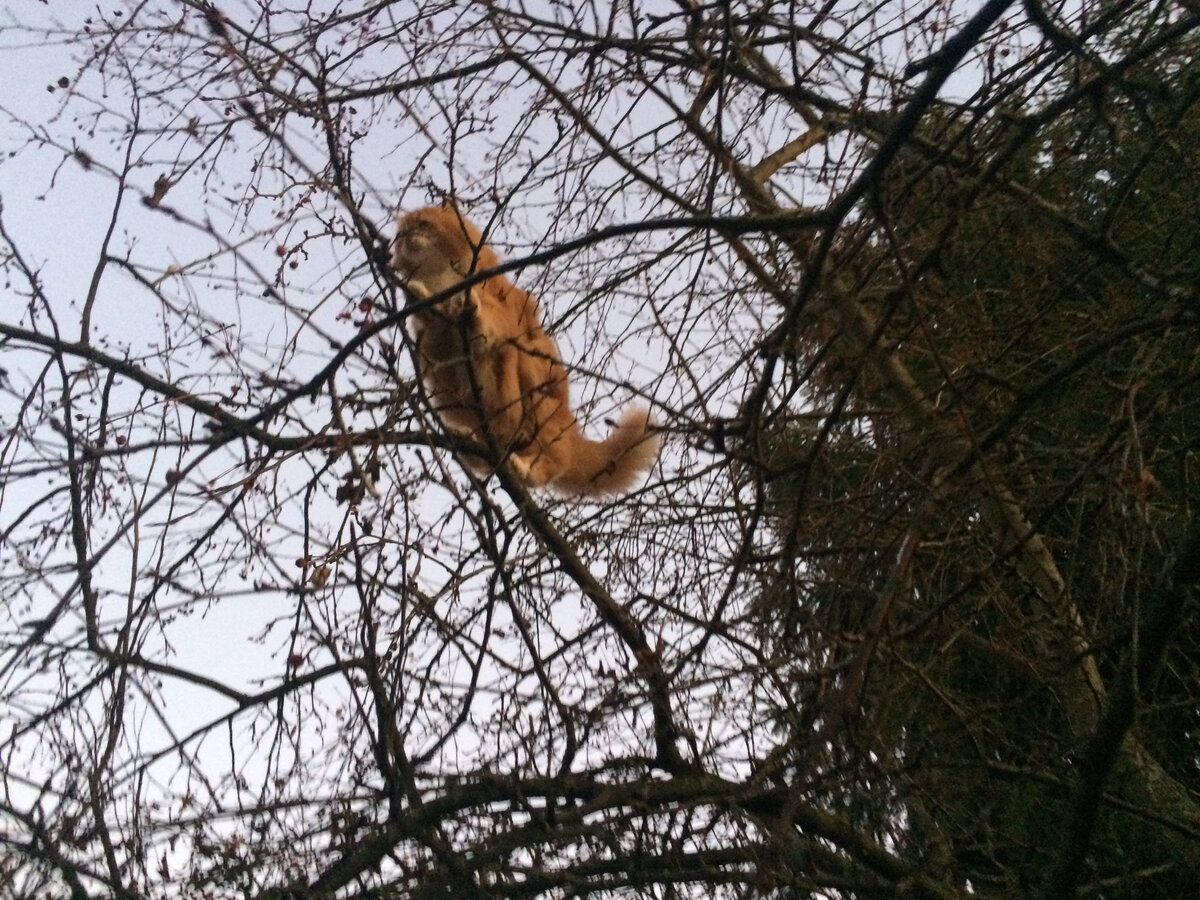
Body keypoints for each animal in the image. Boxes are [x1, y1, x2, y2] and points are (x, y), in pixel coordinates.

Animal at [391, 204, 657, 496]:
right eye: (402, 232)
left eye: (423, 224)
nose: (408, 235)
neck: (441, 277)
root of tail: (570, 425)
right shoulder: (434, 343)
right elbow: (433, 318)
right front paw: (420, 296)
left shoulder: (501, 306)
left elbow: (486, 317)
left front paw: (470, 313)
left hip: (534, 390)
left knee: (550, 460)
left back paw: (524, 466)